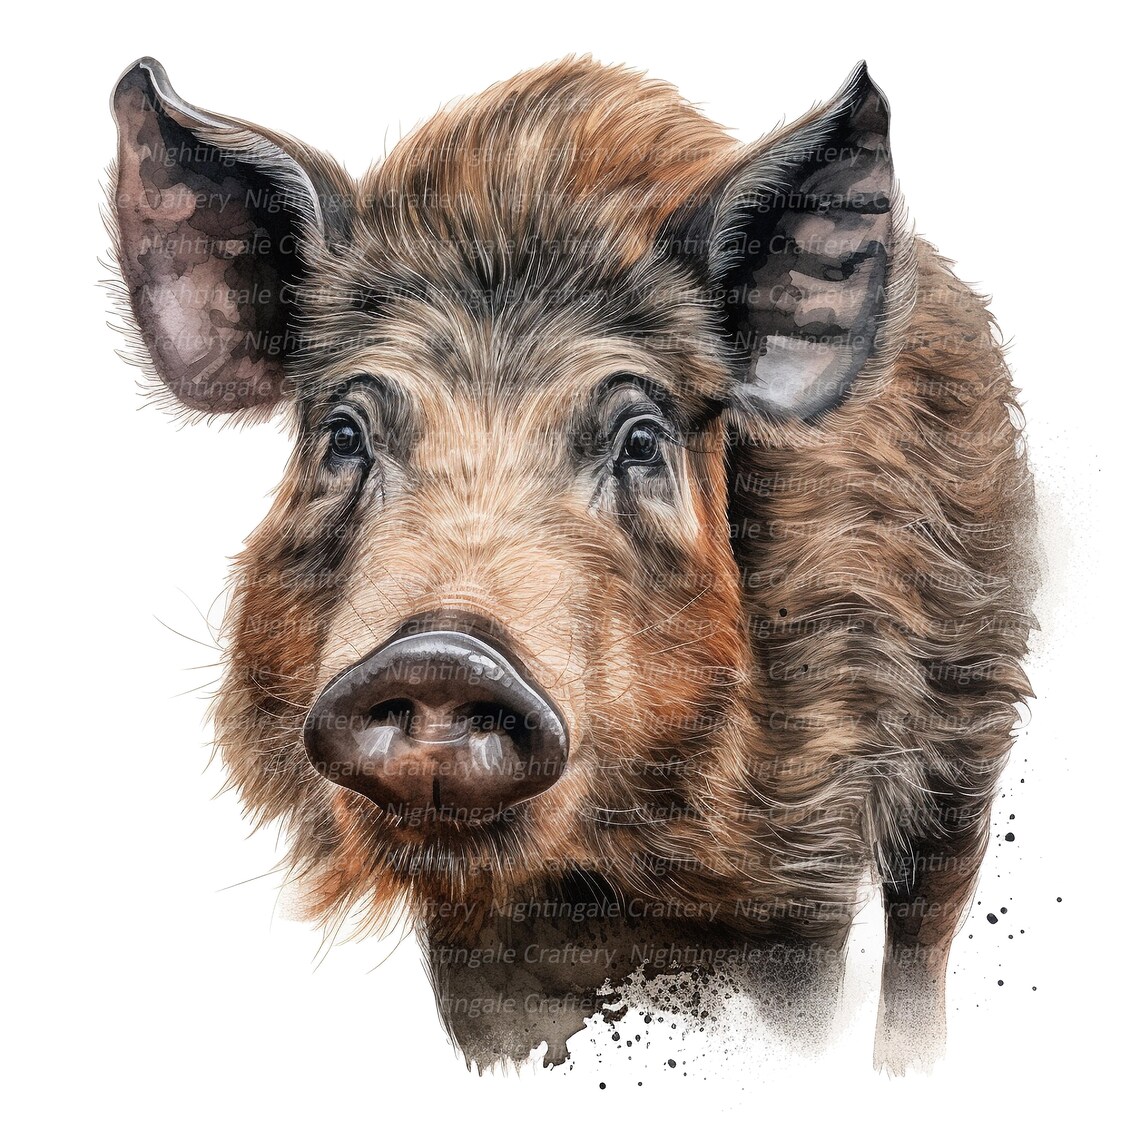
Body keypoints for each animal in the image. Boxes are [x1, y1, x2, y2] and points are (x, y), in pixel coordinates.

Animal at [108, 55, 1035, 1072]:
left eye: (640, 439)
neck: (594, 877)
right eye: (344, 433)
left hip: (975, 709)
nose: (443, 655)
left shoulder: (804, 868)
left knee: (927, 912)